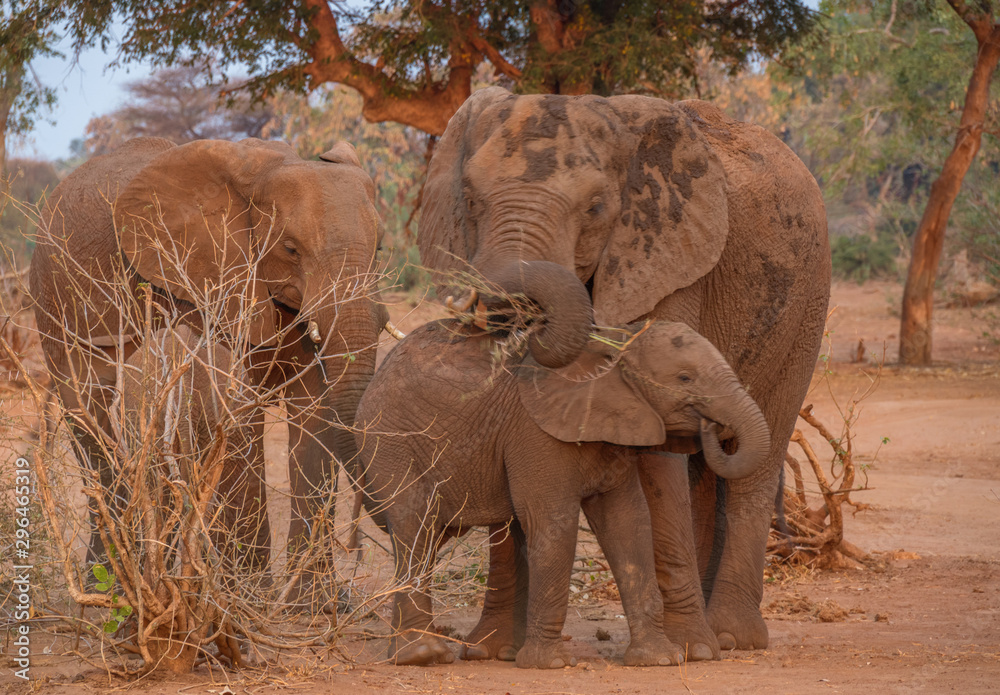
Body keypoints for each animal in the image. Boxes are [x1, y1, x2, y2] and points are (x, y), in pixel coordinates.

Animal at [30, 136, 389, 587]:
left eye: (380, 248)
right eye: (290, 249)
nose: (360, 547)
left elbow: (315, 413)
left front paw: (311, 602)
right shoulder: (200, 284)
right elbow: (234, 416)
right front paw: (252, 596)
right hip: (53, 305)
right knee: (88, 416)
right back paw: (112, 581)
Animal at [353, 319, 770, 668]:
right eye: (685, 377)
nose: (711, 427)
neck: (614, 344)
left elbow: (629, 523)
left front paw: (659, 660)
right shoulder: (536, 433)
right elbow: (555, 523)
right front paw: (550, 664)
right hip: (391, 443)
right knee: (416, 528)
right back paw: (424, 656)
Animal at [418, 88, 831, 651]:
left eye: (595, 207)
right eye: (470, 197)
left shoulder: (667, 259)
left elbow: (658, 453)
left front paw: (689, 649)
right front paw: (492, 649)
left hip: (808, 301)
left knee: (756, 459)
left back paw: (730, 638)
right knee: (707, 469)